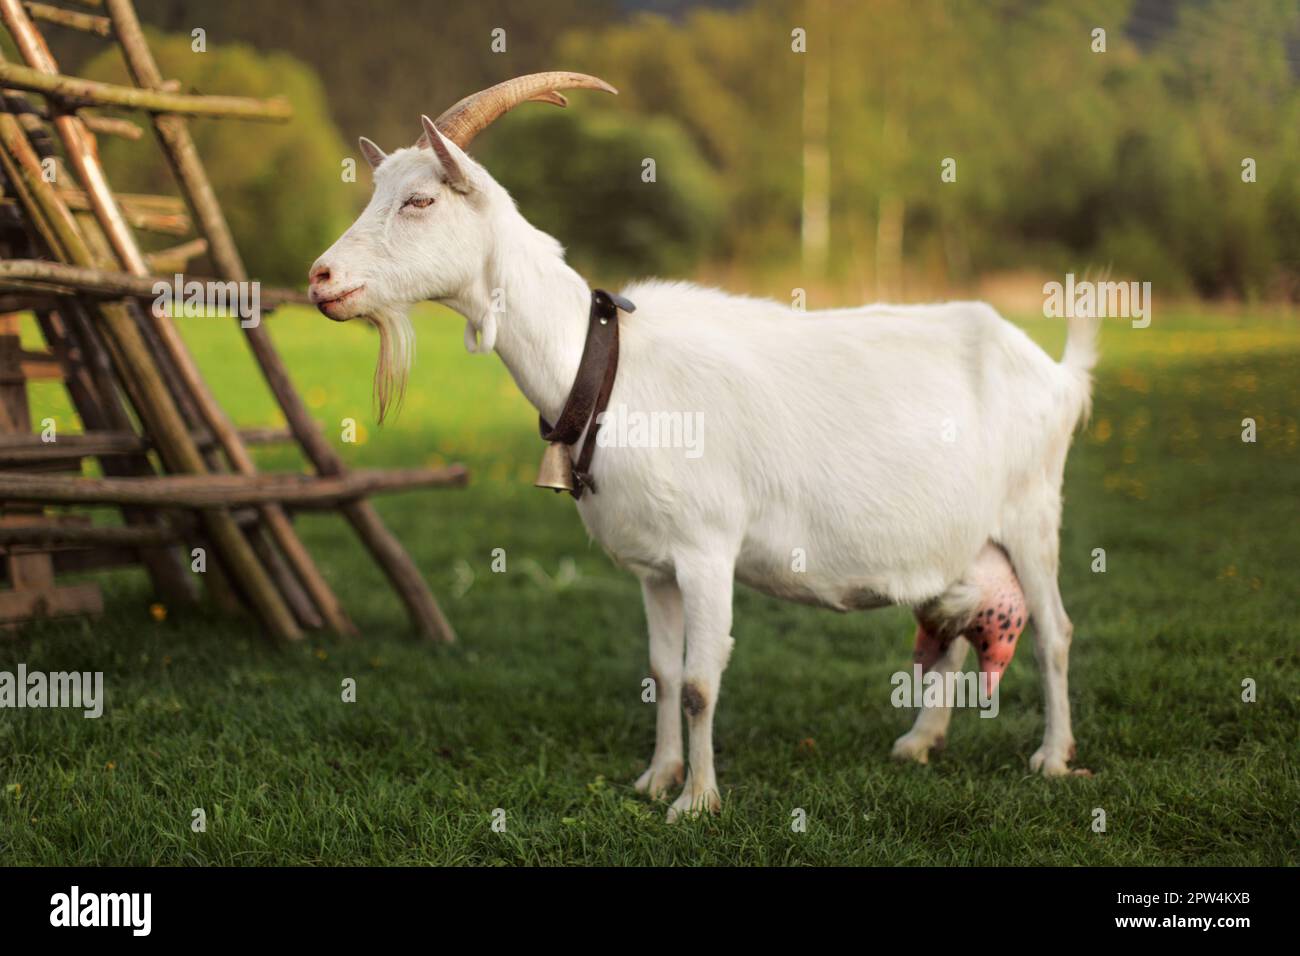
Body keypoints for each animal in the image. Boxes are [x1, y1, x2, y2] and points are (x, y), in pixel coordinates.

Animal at [309, 73, 1098, 820]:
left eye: (419, 200)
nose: (320, 278)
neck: (609, 367)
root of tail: (1056, 373)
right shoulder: (653, 567)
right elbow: (661, 672)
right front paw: (657, 778)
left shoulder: (707, 550)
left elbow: (698, 680)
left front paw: (697, 802)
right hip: (964, 539)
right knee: (958, 632)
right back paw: (920, 742)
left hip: (1032, 514)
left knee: (1055, 630)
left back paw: (1053, 757)